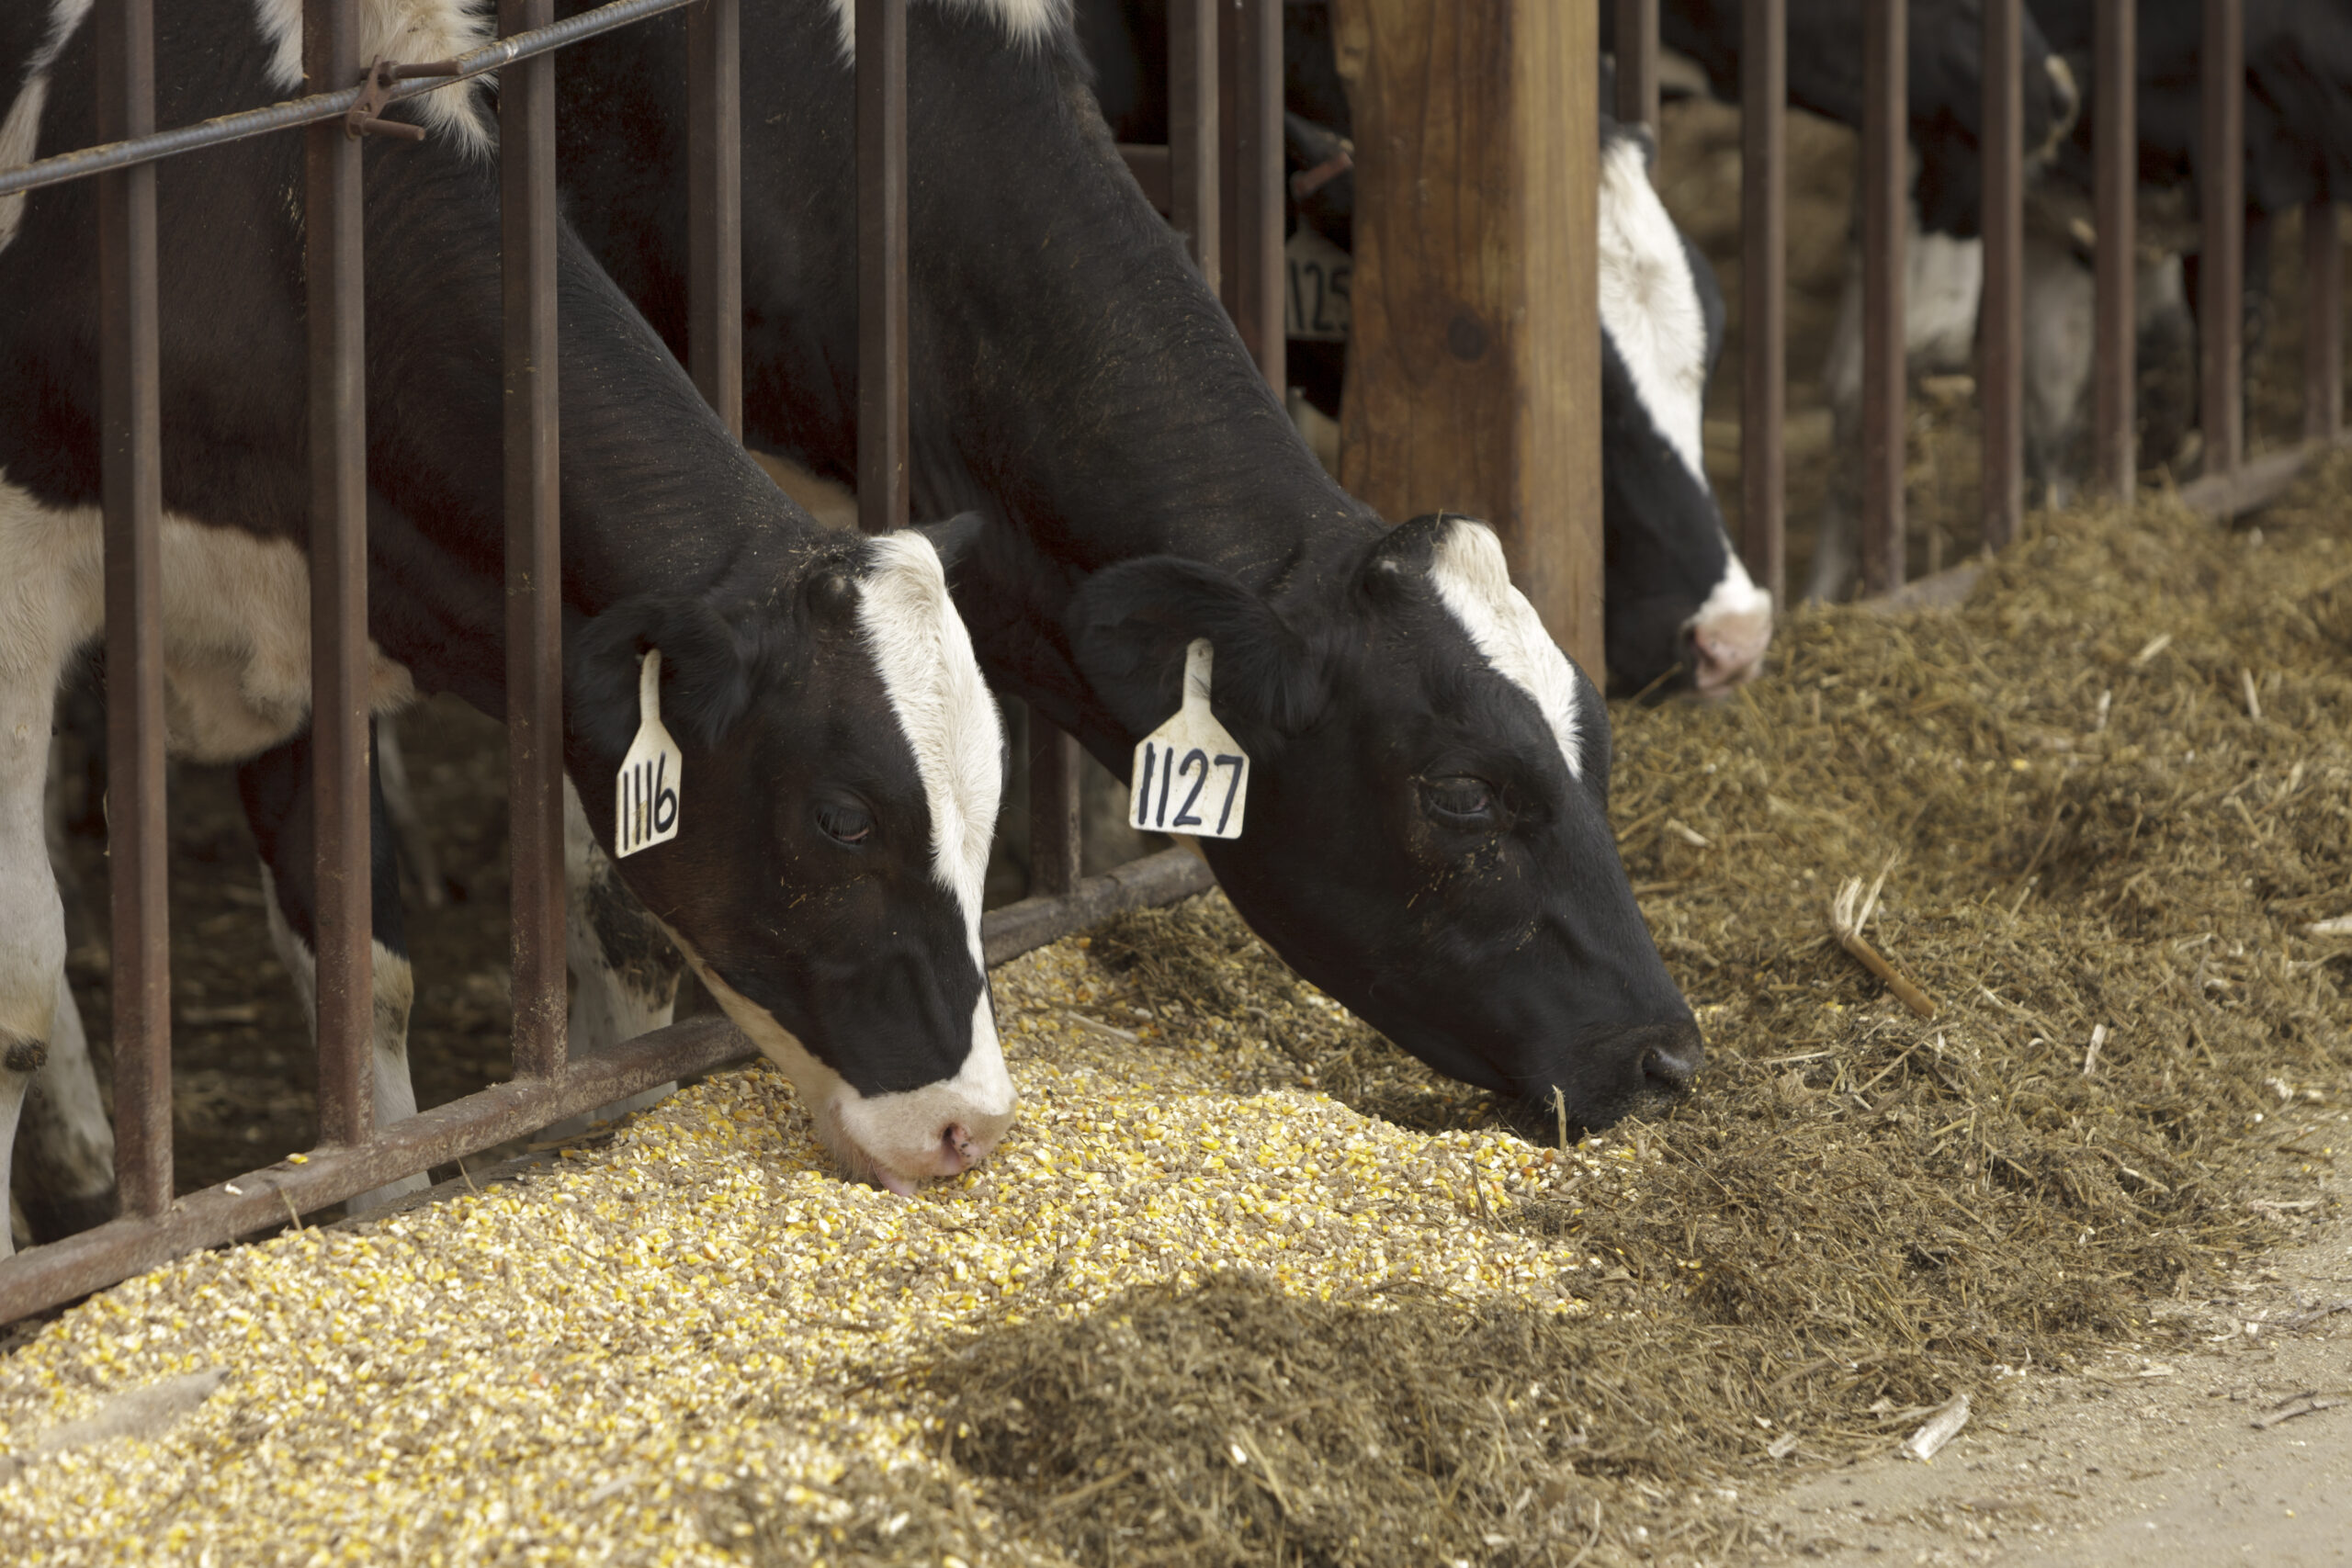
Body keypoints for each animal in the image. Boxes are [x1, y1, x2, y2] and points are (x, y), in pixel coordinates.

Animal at [0, 0, 1013, 1252]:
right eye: (842, 818)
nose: (969, 1126)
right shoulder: (23, 563)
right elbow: (18, 977)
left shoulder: (323, 616)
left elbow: (362, 971)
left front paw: (384, 1199)